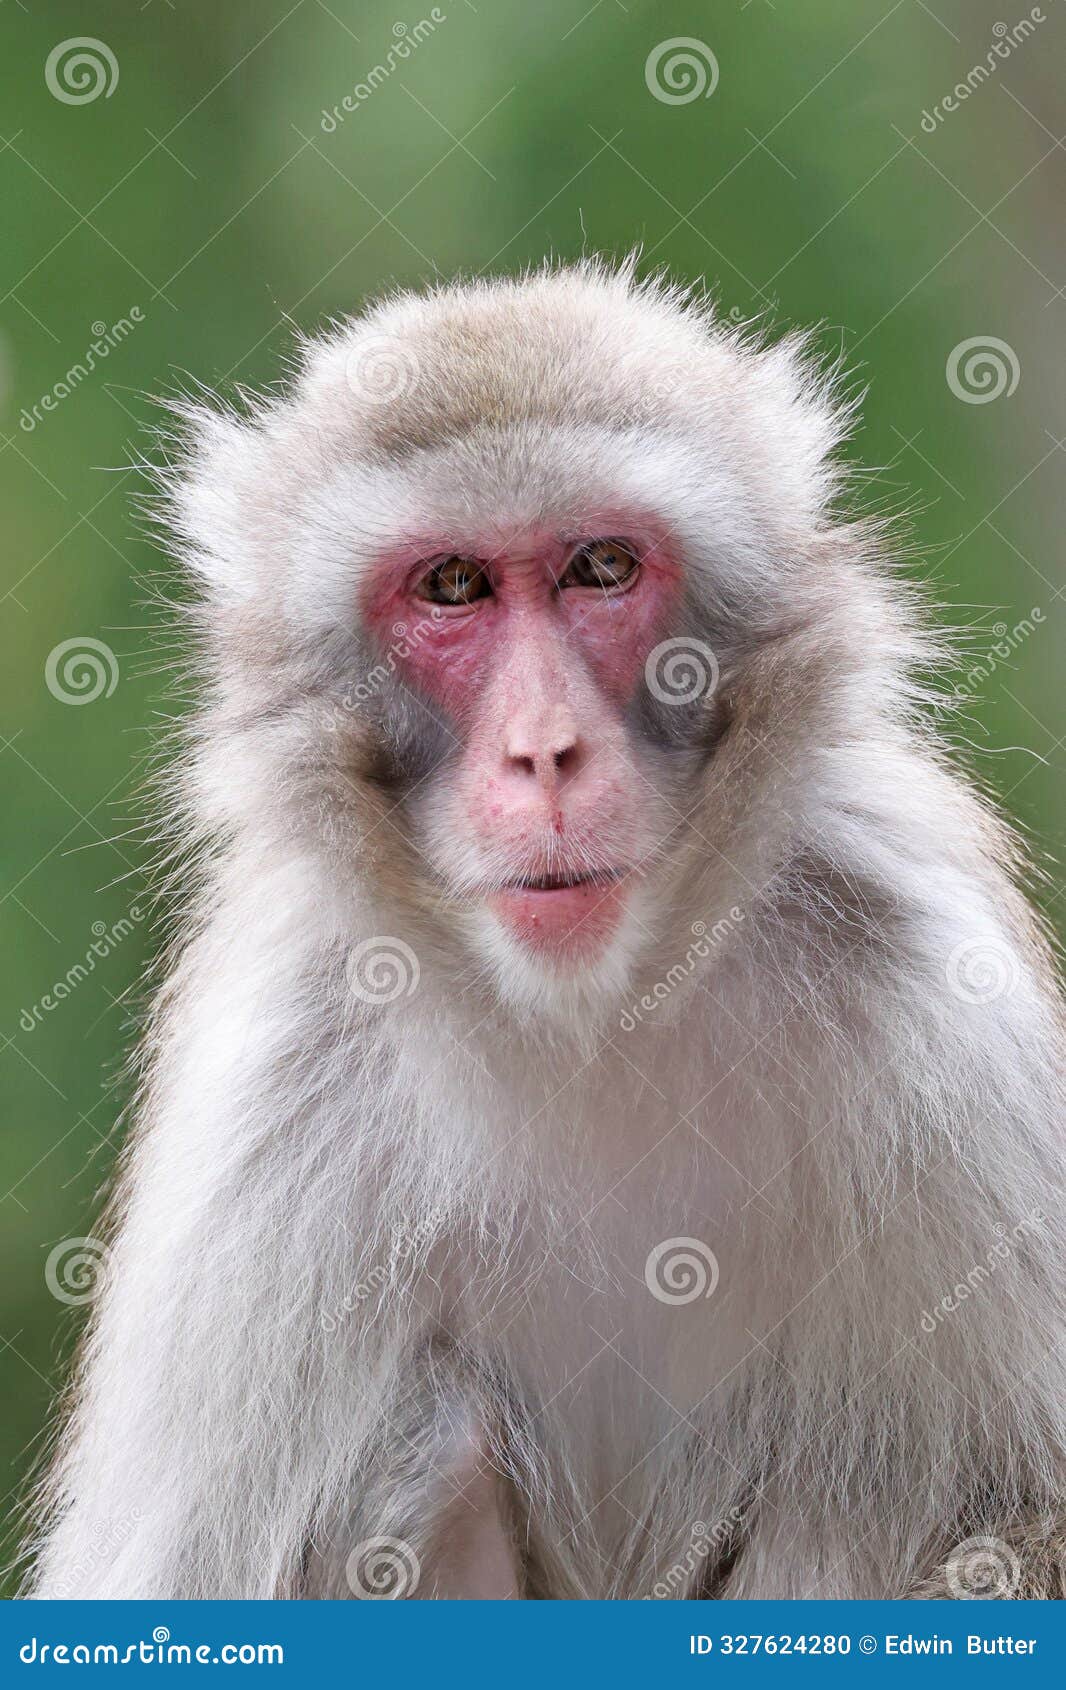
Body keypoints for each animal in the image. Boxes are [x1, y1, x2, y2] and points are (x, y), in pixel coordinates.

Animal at [24, 260, 1065, 1601]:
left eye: (601, 567)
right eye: (452, 586)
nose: (543, 752)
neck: (592, 1014)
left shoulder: (947, 1005)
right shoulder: (265, 1111)